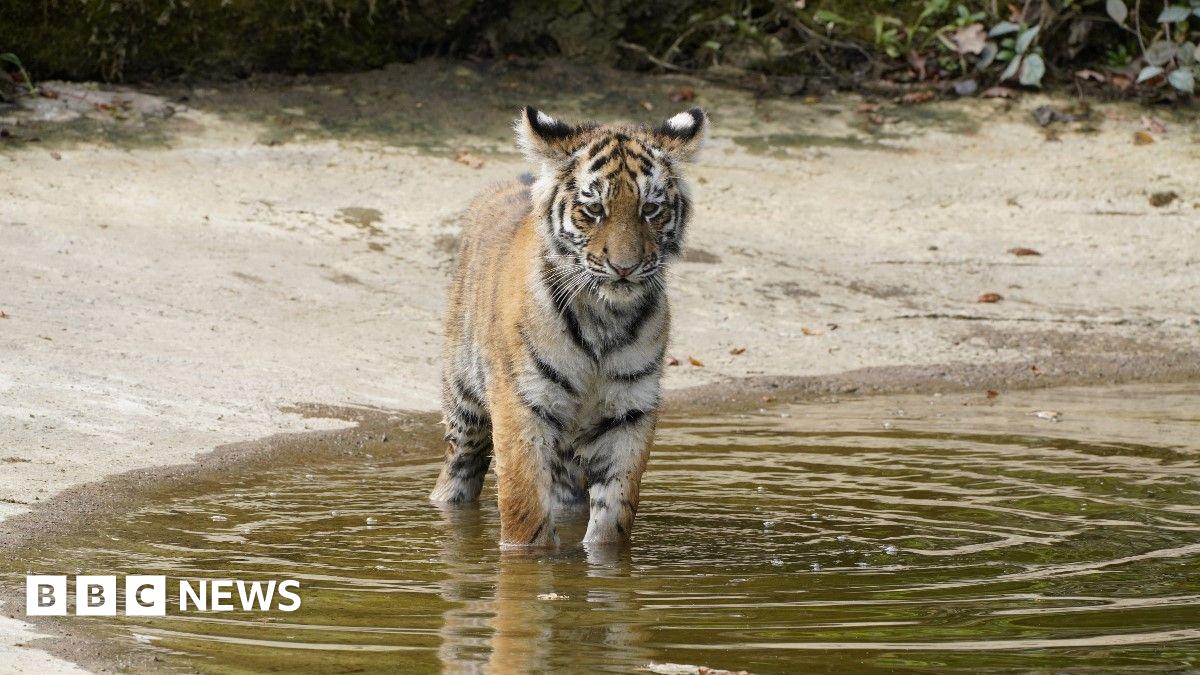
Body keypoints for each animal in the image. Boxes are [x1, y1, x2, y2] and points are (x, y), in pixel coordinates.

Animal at [430, 105, 707, 548]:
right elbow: (525, 507)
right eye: (594, 210)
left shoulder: (629, 410)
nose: (624, 267)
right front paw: (524, 557)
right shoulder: (522, 403)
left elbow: (614, 513)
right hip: (464, 404)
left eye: (650, 209)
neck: (603, 317)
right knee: (459, 470)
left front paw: (601, 555)